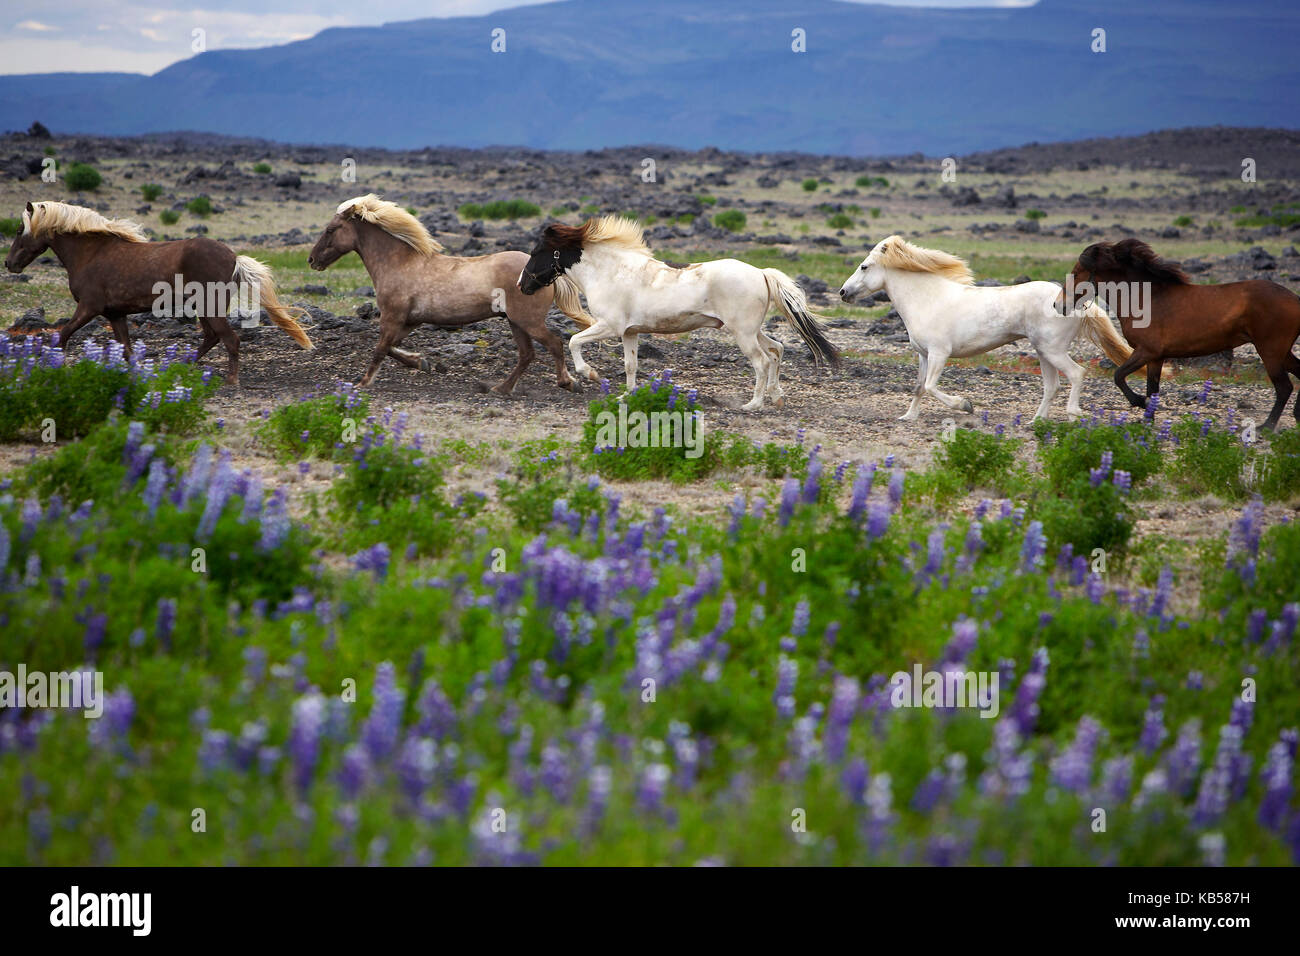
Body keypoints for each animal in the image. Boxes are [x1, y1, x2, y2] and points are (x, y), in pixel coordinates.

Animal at [3, 201, 311, 385]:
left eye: (19, 230)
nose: (9, 264)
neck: (91, 253)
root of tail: (234, 257)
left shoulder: (89, 308)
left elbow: (63, 335)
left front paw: (52, 366)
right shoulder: (115, 315)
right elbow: (126, 349)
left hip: (210, 306)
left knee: (230, 339)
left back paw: (229, 380)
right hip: (201, 308)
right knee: (211, 337)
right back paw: (182, 366)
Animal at [308, 195, 578, 392]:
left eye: (331, 229)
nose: (312, 260)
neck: (398, 263)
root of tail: (539, 274)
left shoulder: (392, 316)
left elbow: (380, 349)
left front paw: (363, 382)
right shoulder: (410, 320)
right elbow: (392, 347)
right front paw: (421, 361)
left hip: (528, 320)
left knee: (554, 343)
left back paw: (567, 382)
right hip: (515, 321)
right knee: (527, 354)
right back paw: (501, 388)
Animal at [516, 216, 839, 411]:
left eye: (536, 252)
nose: (522, 285)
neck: (611, 272)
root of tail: (761, 272)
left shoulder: (609, 326)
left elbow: (573, 341)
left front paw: (590, 375)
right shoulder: (630, 332)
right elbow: (630, 365)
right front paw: (626, 395)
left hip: (743, 333)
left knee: (761, 361)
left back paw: (753, 404)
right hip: (752, 330)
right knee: (777, 350)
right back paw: (777, 397)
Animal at [838, 236, 1132, 421]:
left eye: (864, 266)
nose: (842, 293)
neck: (928, 299)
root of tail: (1076, 303)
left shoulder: (939, 354)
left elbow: (931, 386)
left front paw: (965, 406)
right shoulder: (923, 354)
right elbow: (919, 387)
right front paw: (908, 416)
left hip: (1053, 350)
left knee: (1077, 374)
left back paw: (1073, 414)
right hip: (1043, 351)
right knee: (1052, 386)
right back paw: (1035, 422)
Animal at [1060, 237, 1300, 430]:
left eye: (1076, 273)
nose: (1058, 305)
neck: (1147, 298)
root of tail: (1295, 299)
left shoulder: (1146, 352)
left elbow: (1119, 376)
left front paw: (1139, 403)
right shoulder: (1156, 358)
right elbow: (1152, 388)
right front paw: (1147, 418)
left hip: (1270, 351)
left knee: (1284, 387)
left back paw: (1267, 426)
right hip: (1281, 352)